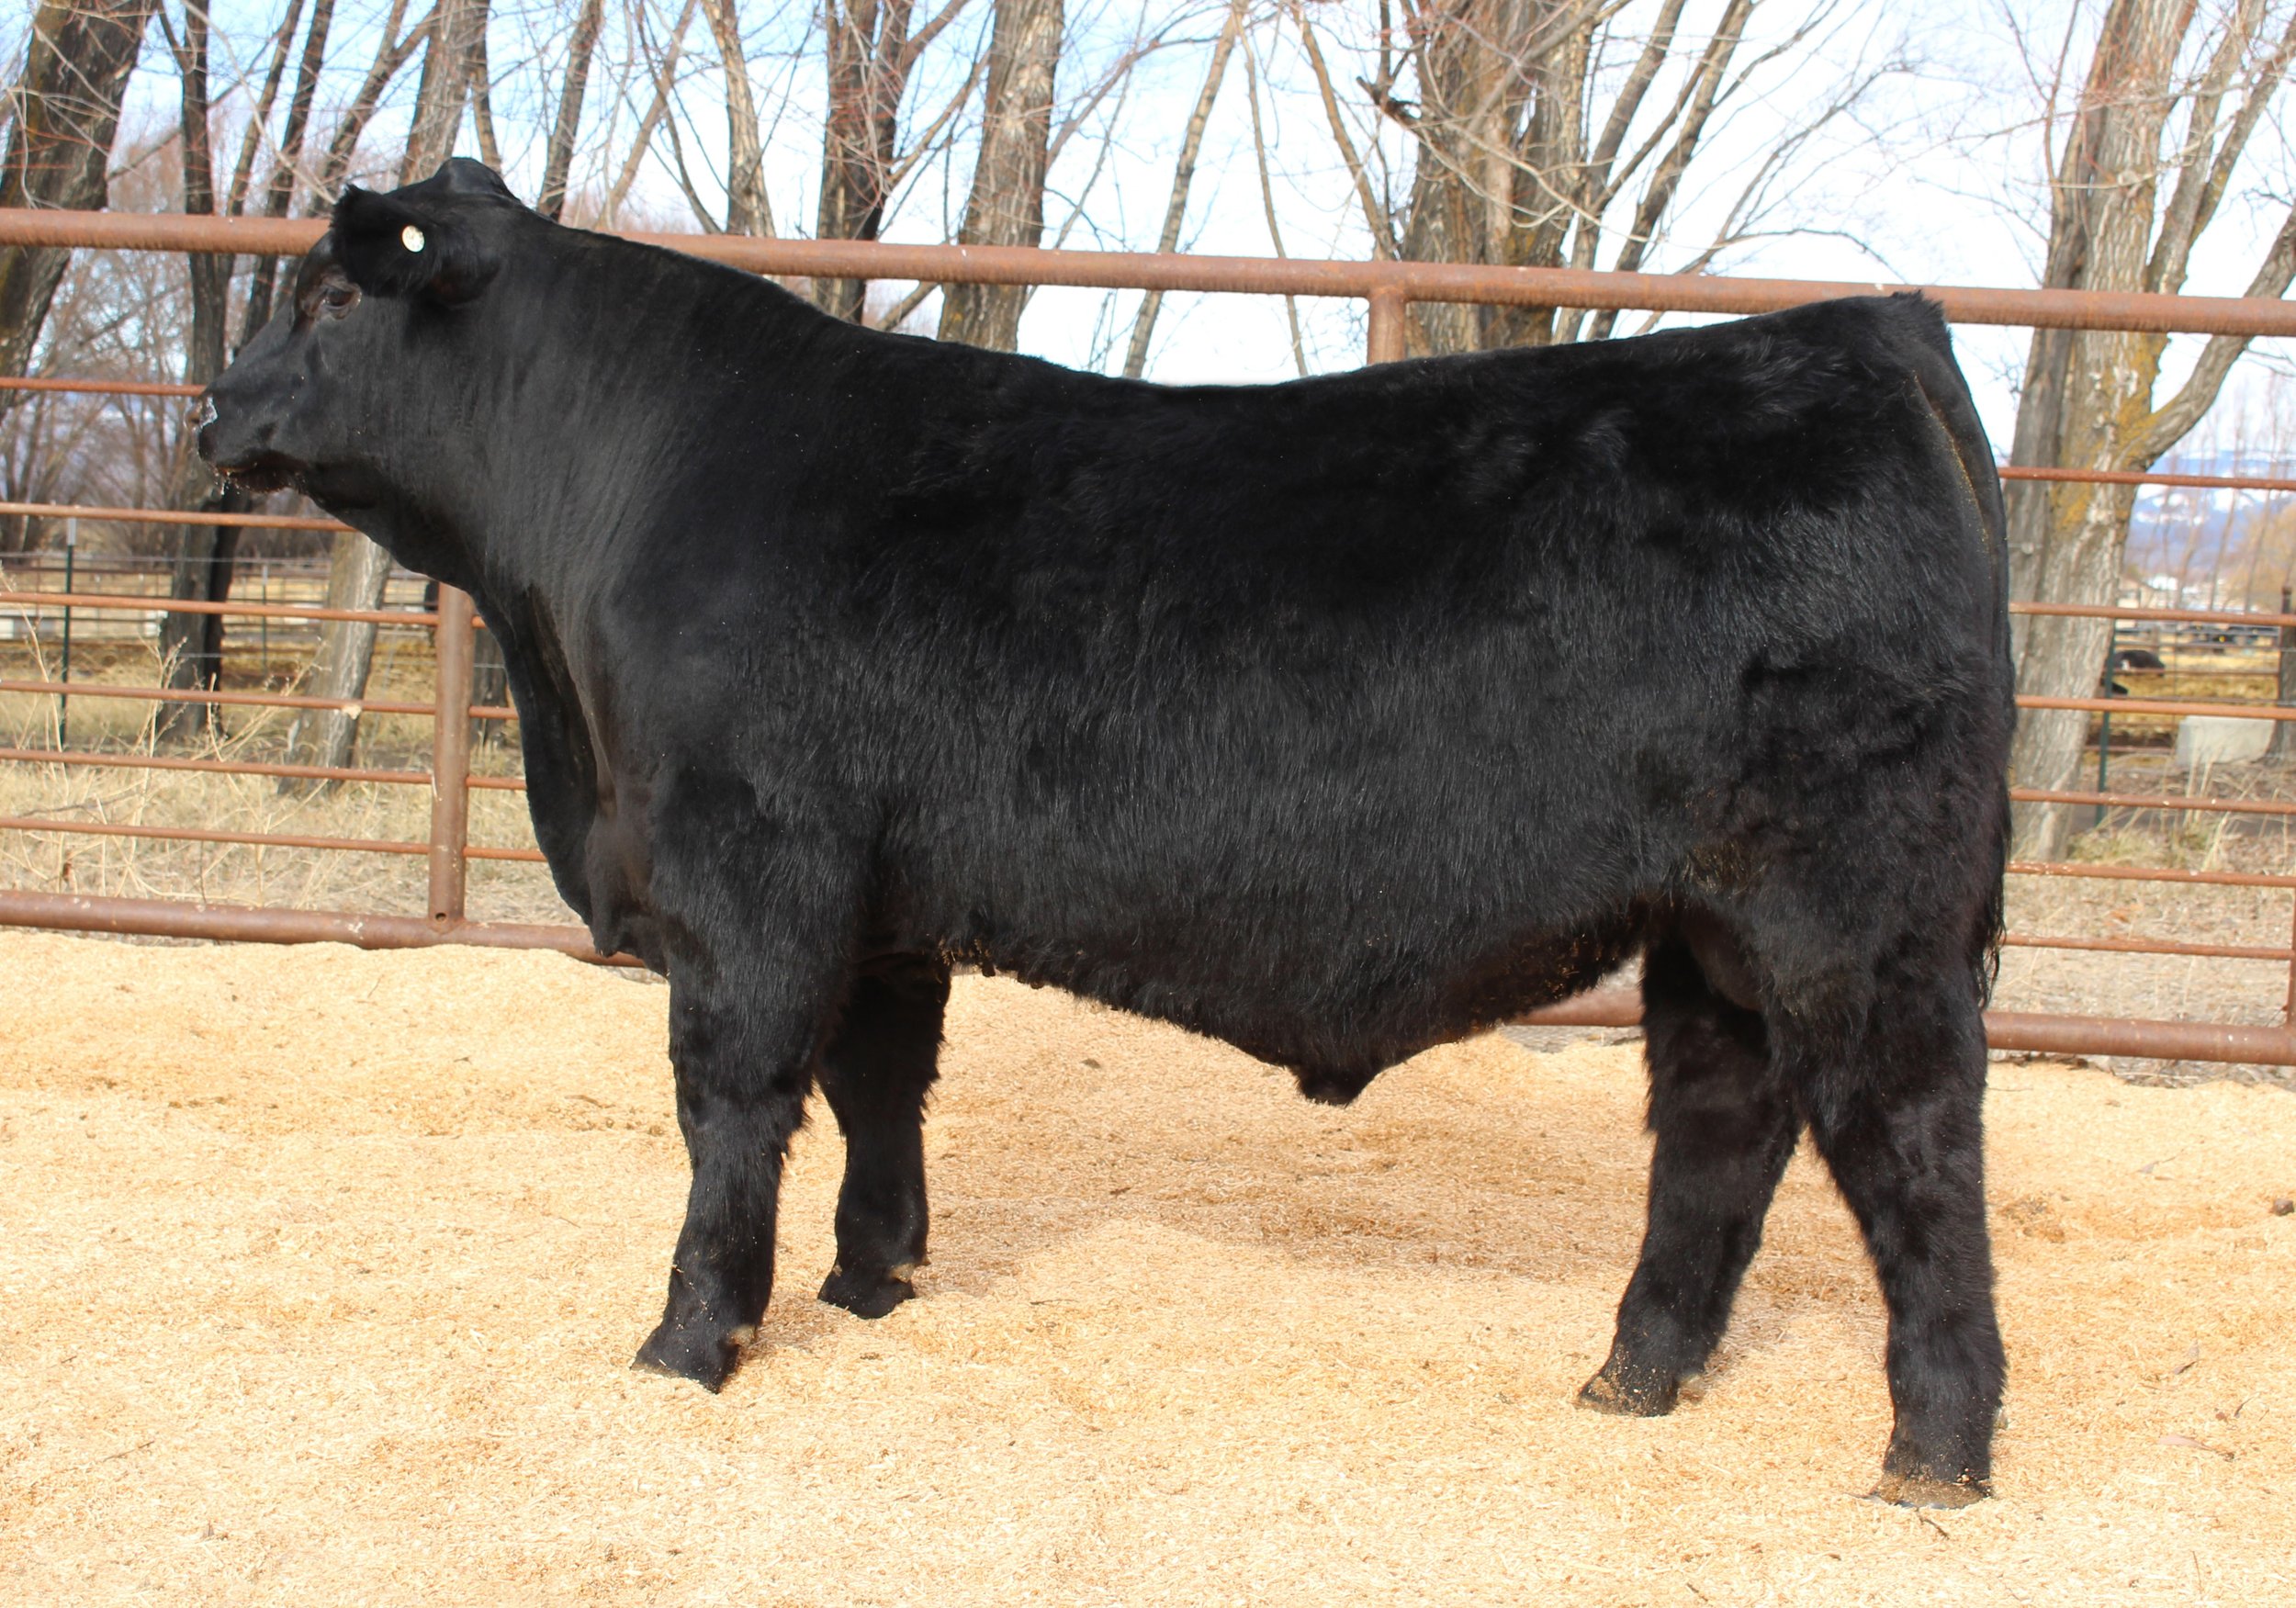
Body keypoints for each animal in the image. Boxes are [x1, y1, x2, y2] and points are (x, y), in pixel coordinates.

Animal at [198, 160, 2014, 1508]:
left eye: (334, 296)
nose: (214, 404)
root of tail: (1867, 334)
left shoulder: (752, 875)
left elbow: (736, 1101)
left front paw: (691, 1337)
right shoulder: (884, 898)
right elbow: (881, 1083)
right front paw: (871, 1283)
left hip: (1861, 920)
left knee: (1911, 1143)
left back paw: (1932, 1453)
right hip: (1713, 931)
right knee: (1718, 1134)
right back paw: (1630, 1379)